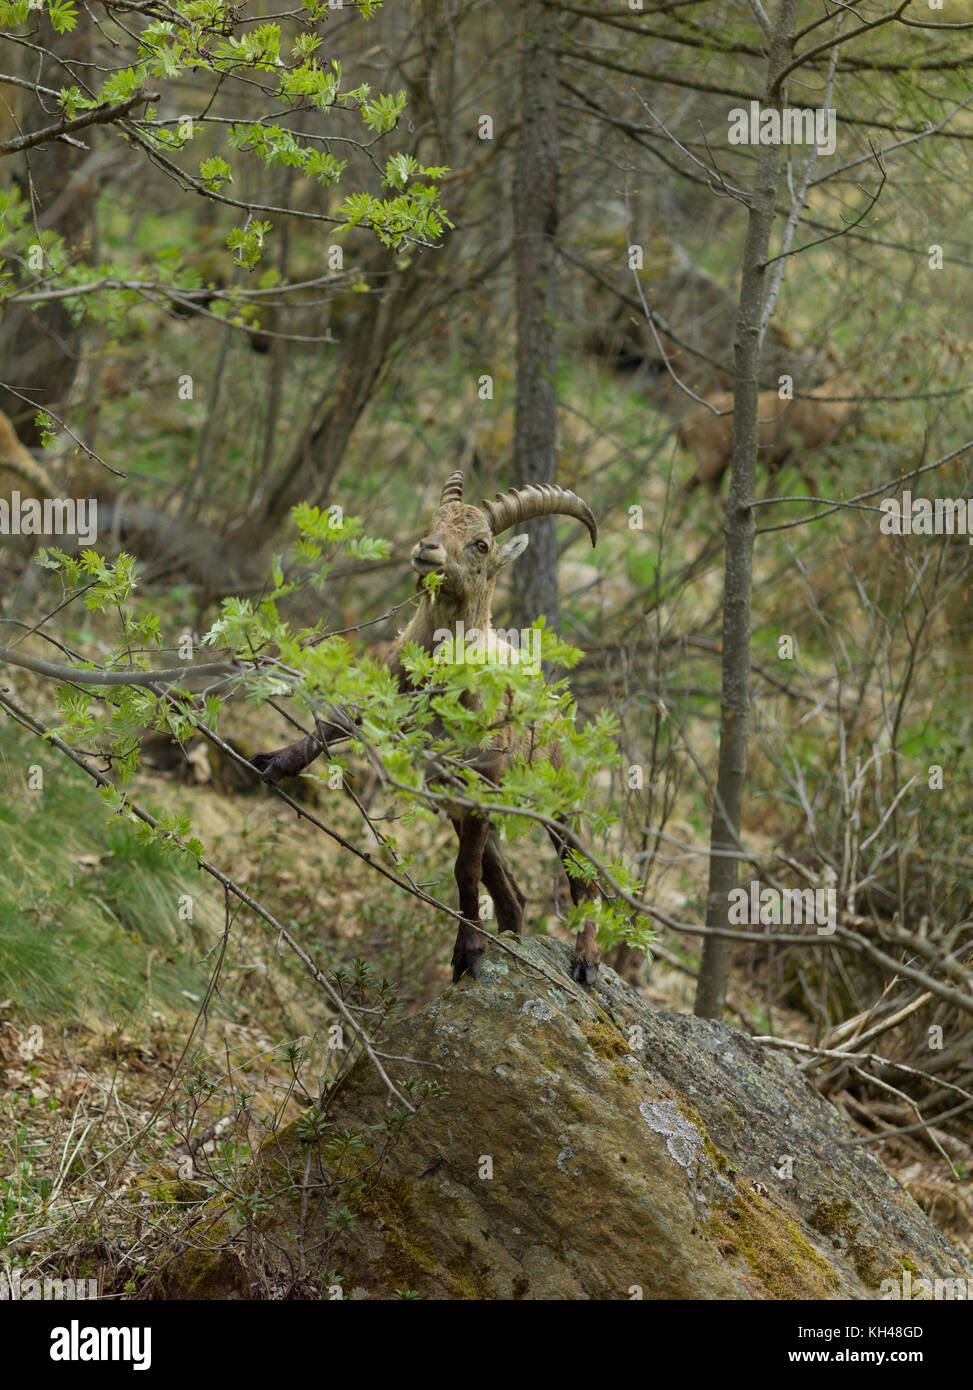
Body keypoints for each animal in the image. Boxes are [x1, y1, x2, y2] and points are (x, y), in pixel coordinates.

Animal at [252, 471, 603, 984]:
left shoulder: (480, 783)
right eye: (431, 525)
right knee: (512, 895)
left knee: (581, 880)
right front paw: (275, 762)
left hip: (555, 799)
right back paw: (513, 945)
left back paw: (584, 960)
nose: (427, 549)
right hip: (469, 812)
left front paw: (467, 953)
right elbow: (333, 724)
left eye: (481, 543)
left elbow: (464, 874)